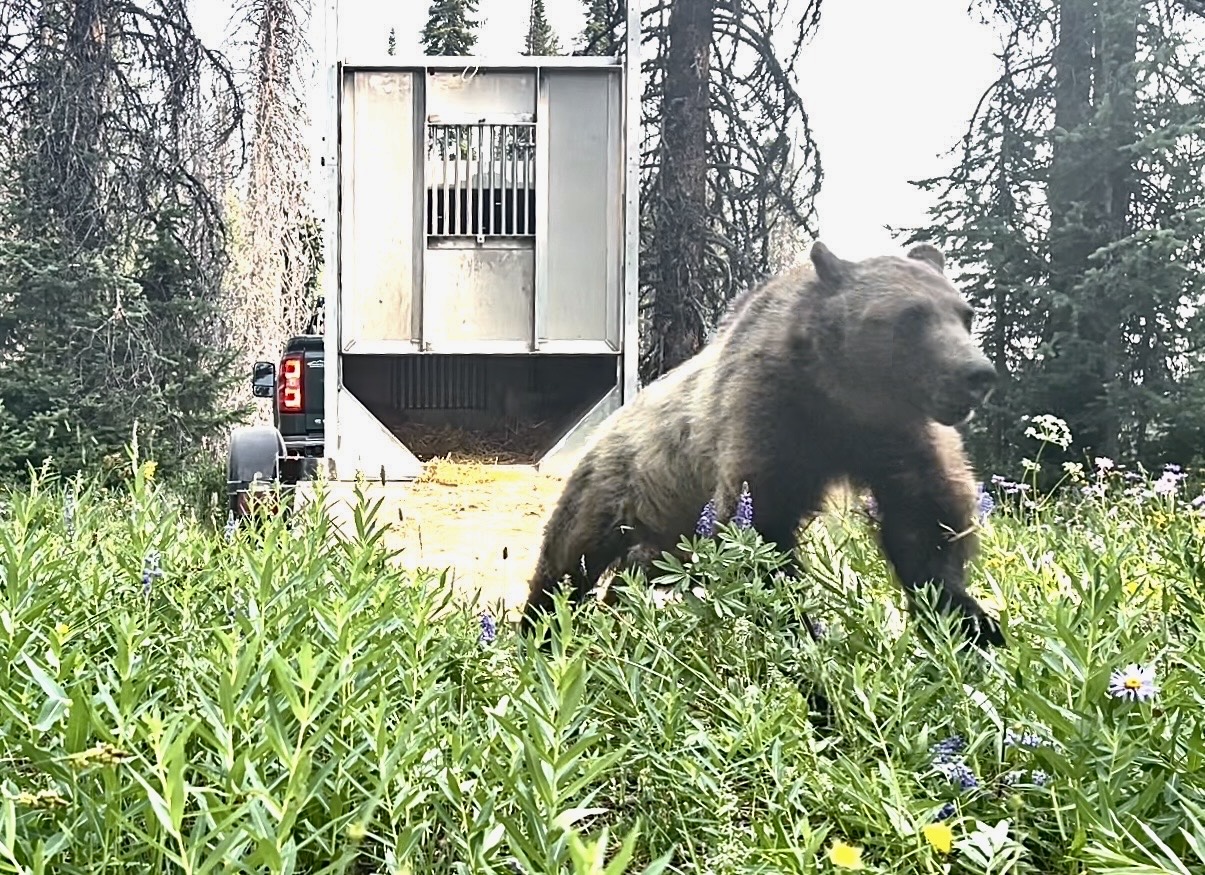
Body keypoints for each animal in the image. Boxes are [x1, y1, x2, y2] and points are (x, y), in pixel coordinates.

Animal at [520, 240, 1004, 649]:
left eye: (964, 313)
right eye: (911, 316)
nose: (977, 374)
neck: (842, 397)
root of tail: (605, 426)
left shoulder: (897, 436)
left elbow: (926, 523)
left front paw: (970, 621)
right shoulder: (769, 420)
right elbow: (761, 527)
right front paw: (802, 629)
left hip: (665, 533)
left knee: (630, 574)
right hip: (614, 490)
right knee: (565, 567)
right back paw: (540, 634)